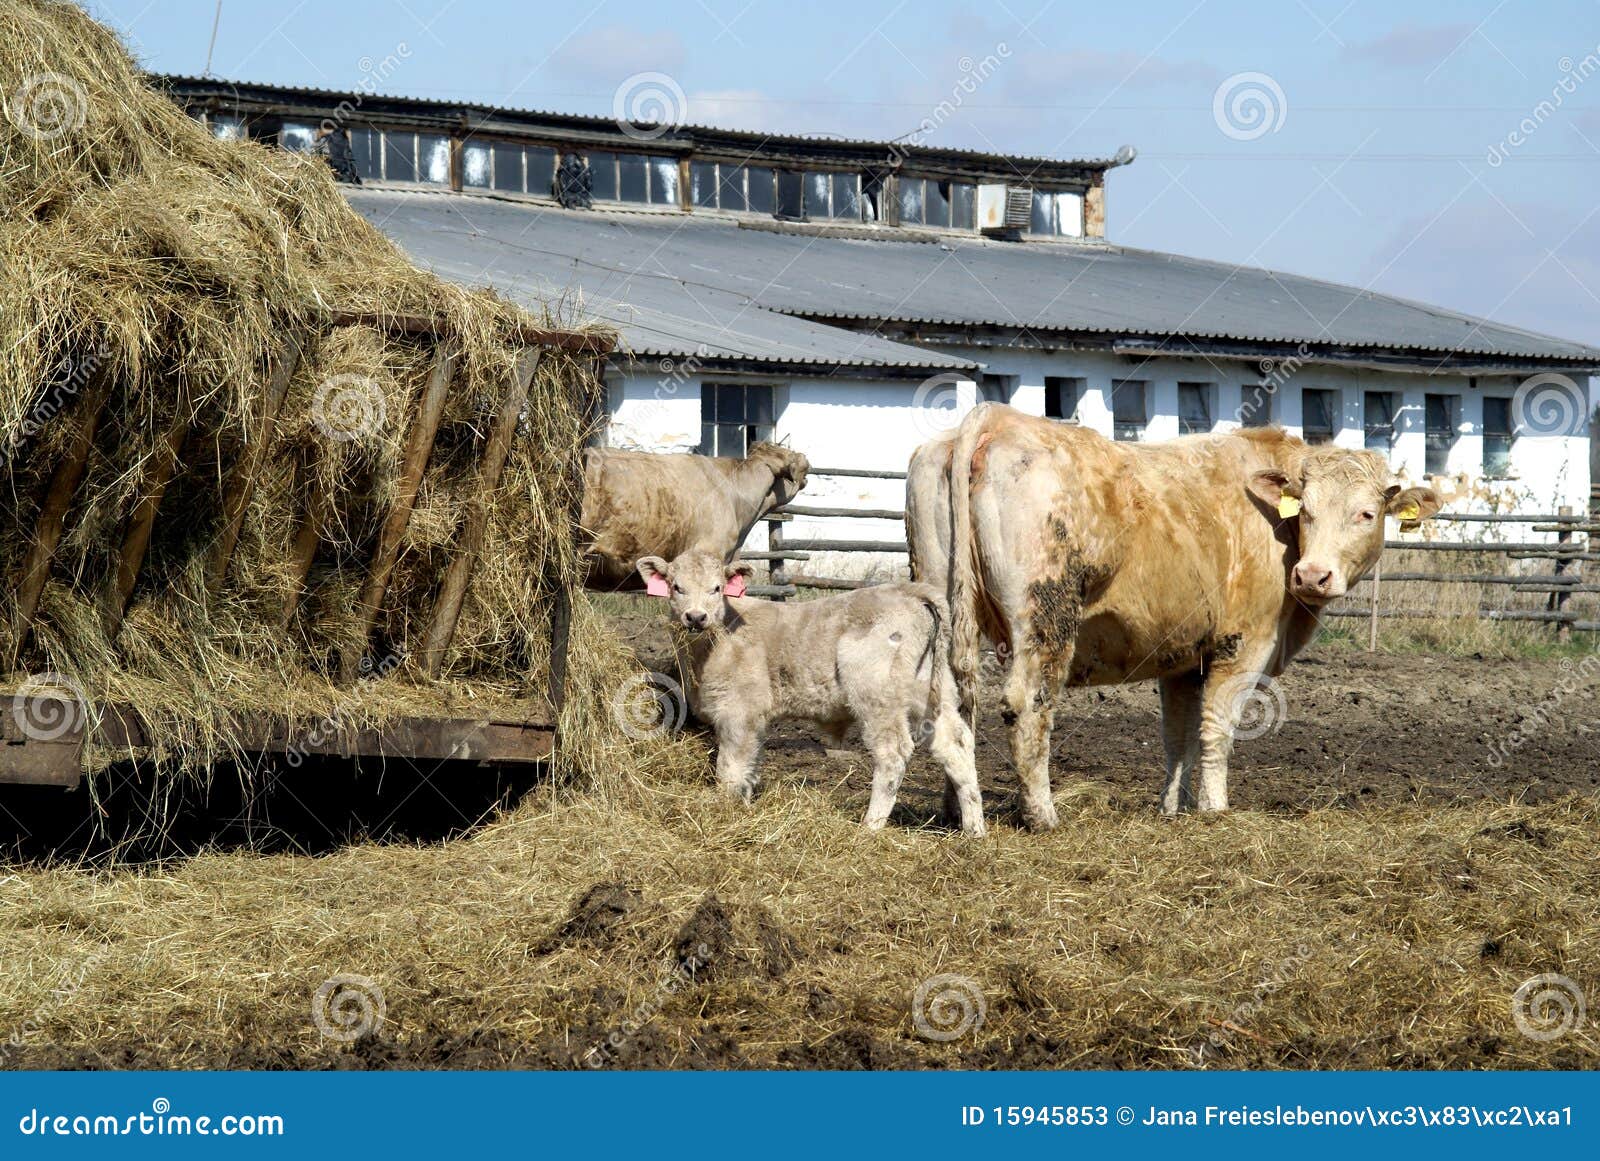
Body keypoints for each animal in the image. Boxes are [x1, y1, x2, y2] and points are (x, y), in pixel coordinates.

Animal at [635, 550, 986, 835]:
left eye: (717, 588)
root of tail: (910, 590)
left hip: (877, 696)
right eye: (676, 587)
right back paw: (974, 830)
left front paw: (725, 810)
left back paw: (870, 827)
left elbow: (730, 768)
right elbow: (750, 764)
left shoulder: (738, 711)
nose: (695, 617)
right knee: (955, 744)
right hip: (931, 689)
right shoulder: (754, 717)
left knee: (893, 752)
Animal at [917, 402, 1440, 827]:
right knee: (1028, 705)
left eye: (1367, 514)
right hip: (1044, 618)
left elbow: (1179, 736)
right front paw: (1214, 809)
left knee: (955, 707)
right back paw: (1042, 816)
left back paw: (957, 809)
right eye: (1305, 510)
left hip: (943, 606)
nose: (1312, 576)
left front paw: (1174, 807)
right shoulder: (1244, 643)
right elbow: (1217, 729)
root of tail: (997, 418)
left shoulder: (1184, 657)